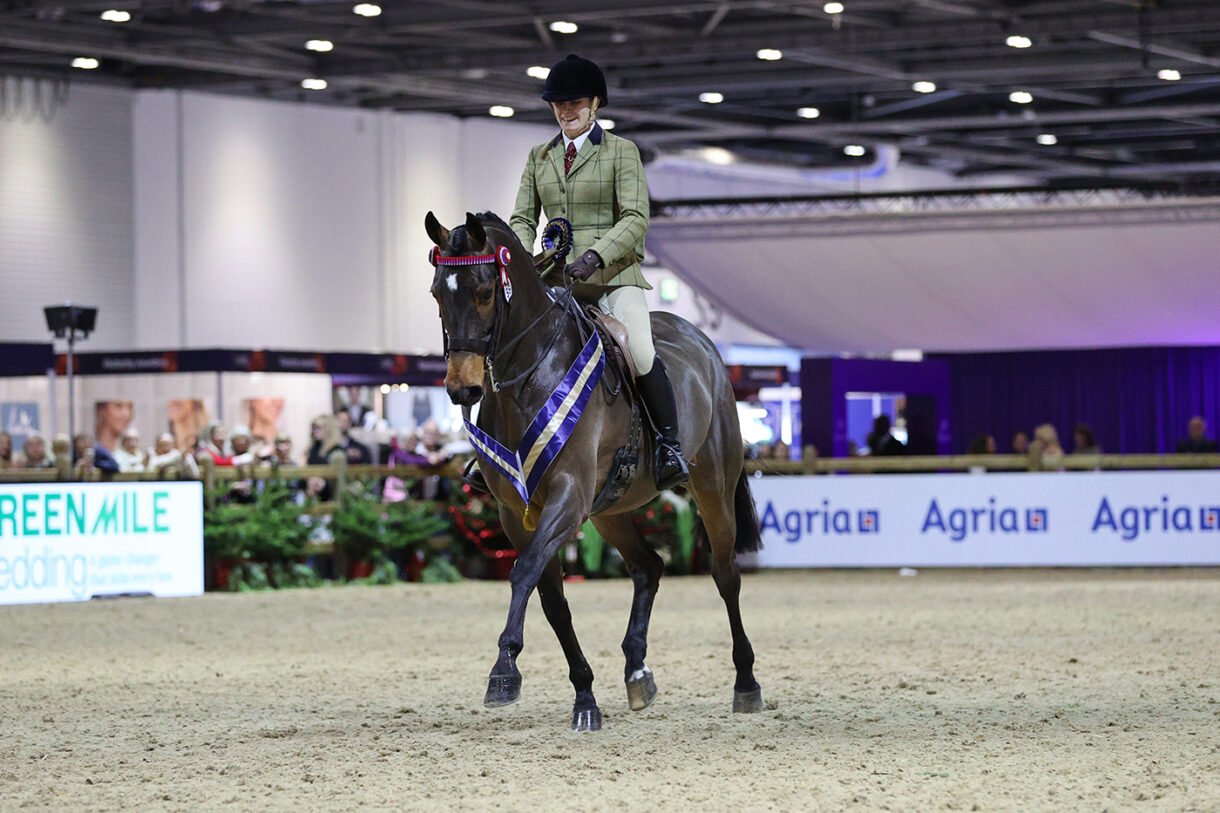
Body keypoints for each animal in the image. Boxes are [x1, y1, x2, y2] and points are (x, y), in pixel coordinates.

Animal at [424, 210, 765, 731]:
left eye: (484, 292)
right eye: (437, 293)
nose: (462, 389)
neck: (529, 376)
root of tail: (700, 341)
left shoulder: (568, 495)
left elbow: (523, 573)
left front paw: (503, 671)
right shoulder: (515, 512)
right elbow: (551, 599)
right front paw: (584, 695)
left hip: (712, 486)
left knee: (725, 574)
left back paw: (746, 683)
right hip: (611, 511)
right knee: (648, 567)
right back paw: (638, 672)